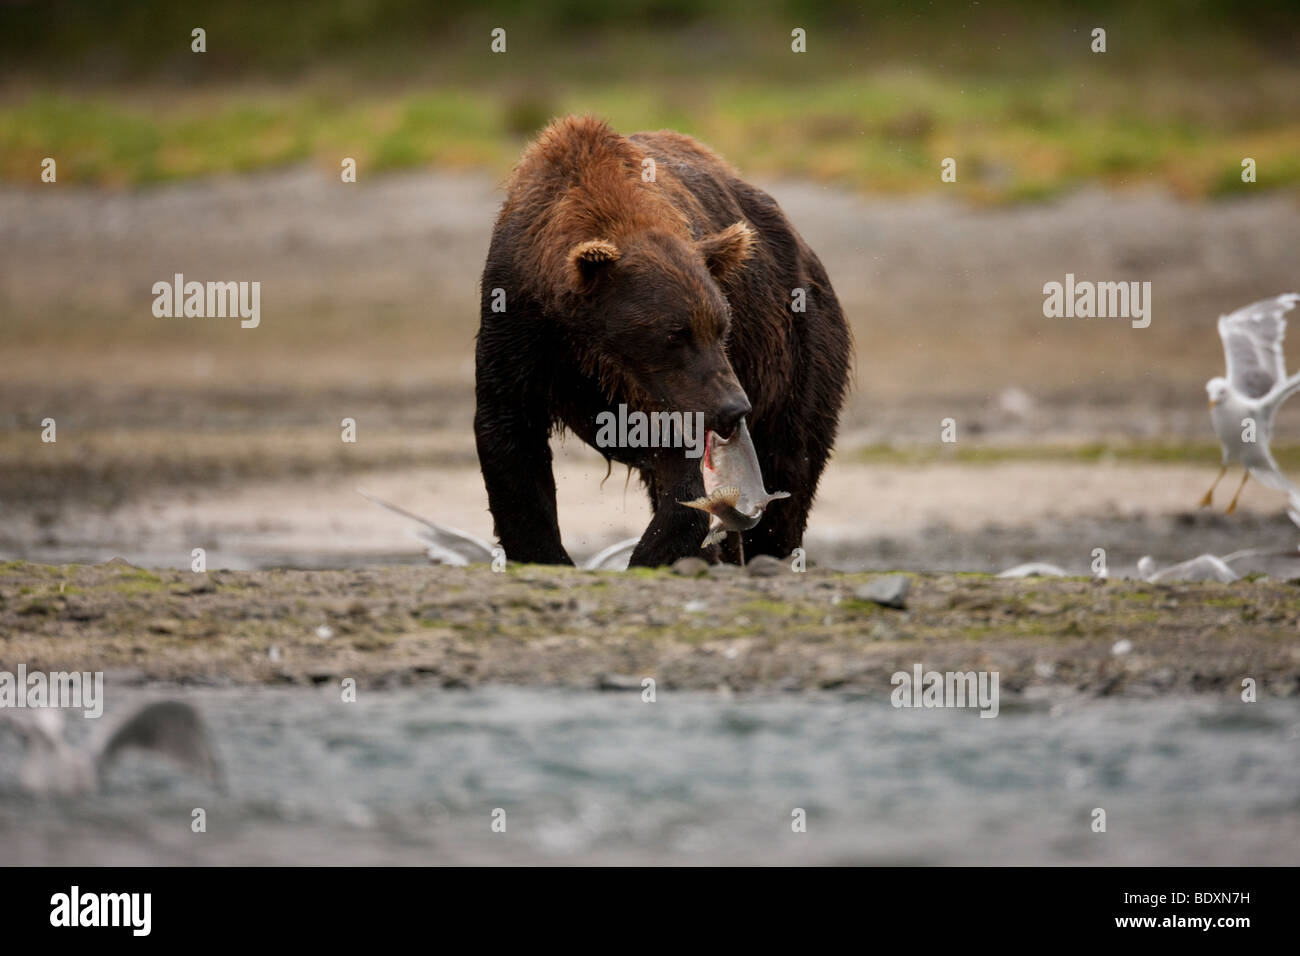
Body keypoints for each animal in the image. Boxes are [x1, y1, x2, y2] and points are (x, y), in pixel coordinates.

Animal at [475, 116, 851, 567]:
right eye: (675, 333)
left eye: (722, 327)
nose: (733, 408)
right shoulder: (519, 320)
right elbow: (511, 441)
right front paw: (545, 553)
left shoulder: (674, 395)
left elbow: (686, 488)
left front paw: (653, 554)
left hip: (800, 351)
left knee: (790, 470)